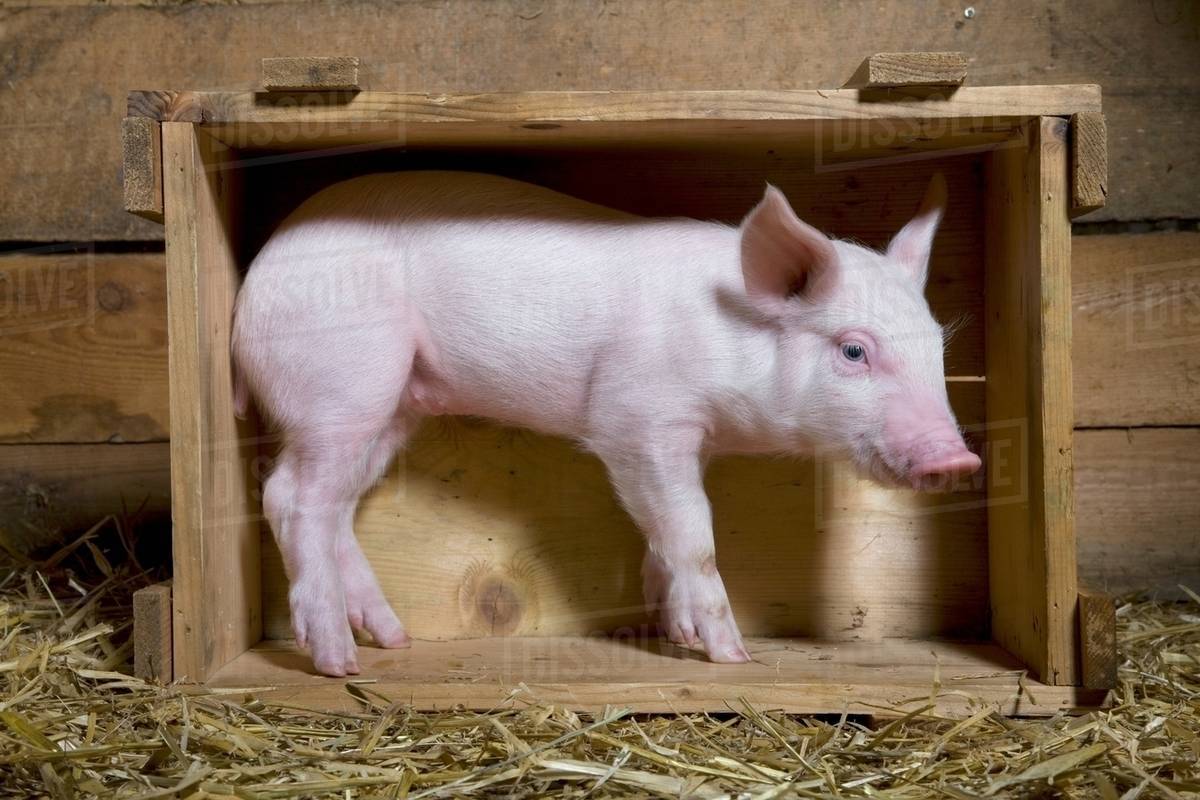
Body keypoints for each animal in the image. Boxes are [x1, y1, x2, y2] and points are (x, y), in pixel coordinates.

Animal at [231, 171, 981, 677]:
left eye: (937, 347)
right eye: (853, 351)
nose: (958, 460)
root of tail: (252, 286)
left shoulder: (685, 444)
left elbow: (661, 531)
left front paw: (675, 632)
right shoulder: (637, 418)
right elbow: (692, 532)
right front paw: (729, 655)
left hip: (393, 406)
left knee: (330, 507)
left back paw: (391, 640)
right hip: (339, 384)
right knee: (292, 496)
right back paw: (339, 662)